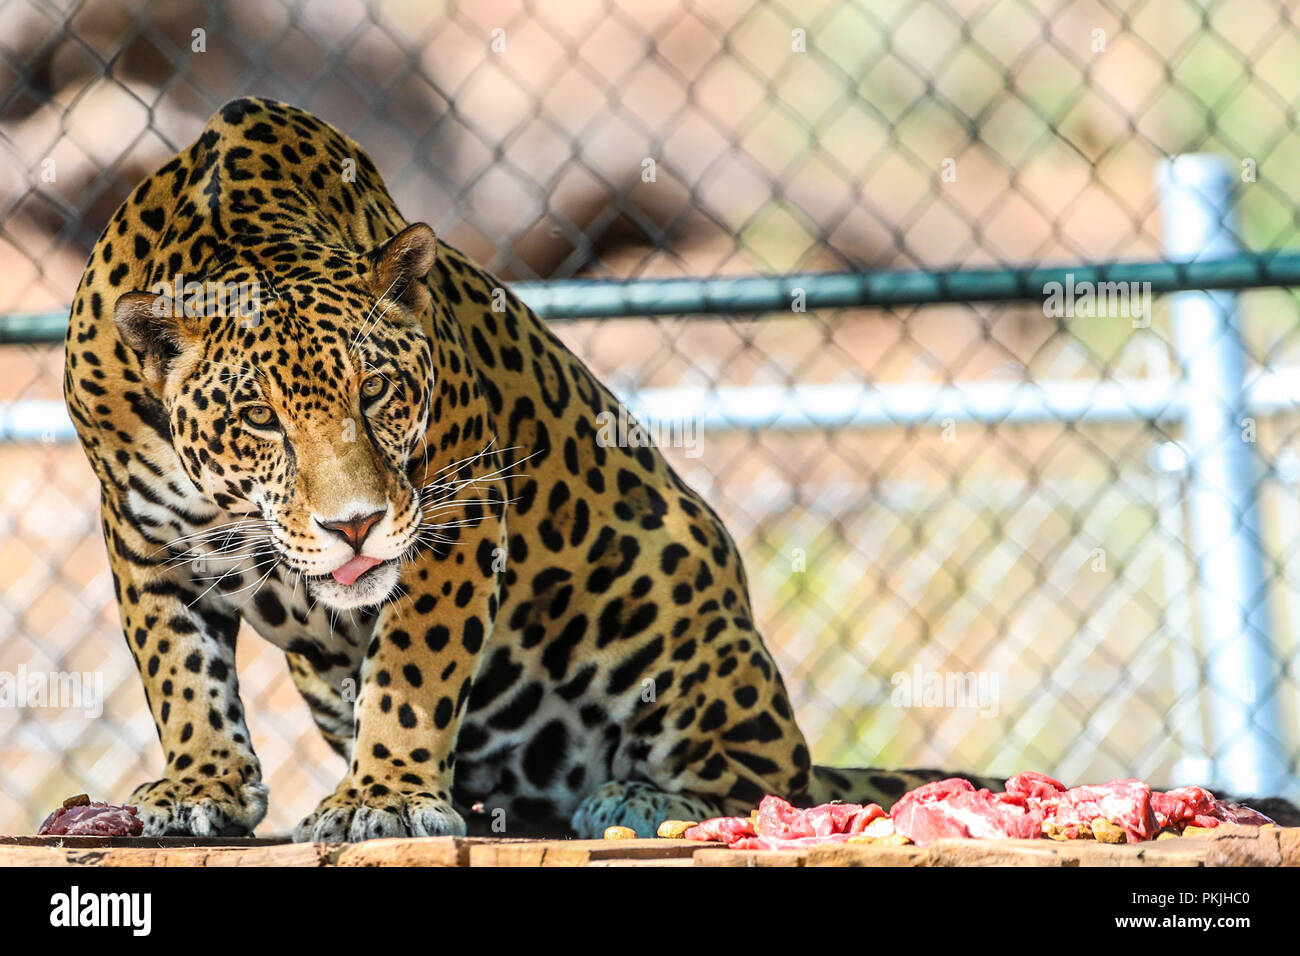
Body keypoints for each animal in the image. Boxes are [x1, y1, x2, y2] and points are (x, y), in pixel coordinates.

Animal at [63, 97, 990, 841]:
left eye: (377, 390)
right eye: (260, 419)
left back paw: (643, 800)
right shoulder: (141, 538)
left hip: (670, 588)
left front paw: (384, 797)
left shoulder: (455, 515)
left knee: (773, 781)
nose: (355, 525)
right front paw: (202, 783)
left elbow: (412, 671)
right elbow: (180, 672)